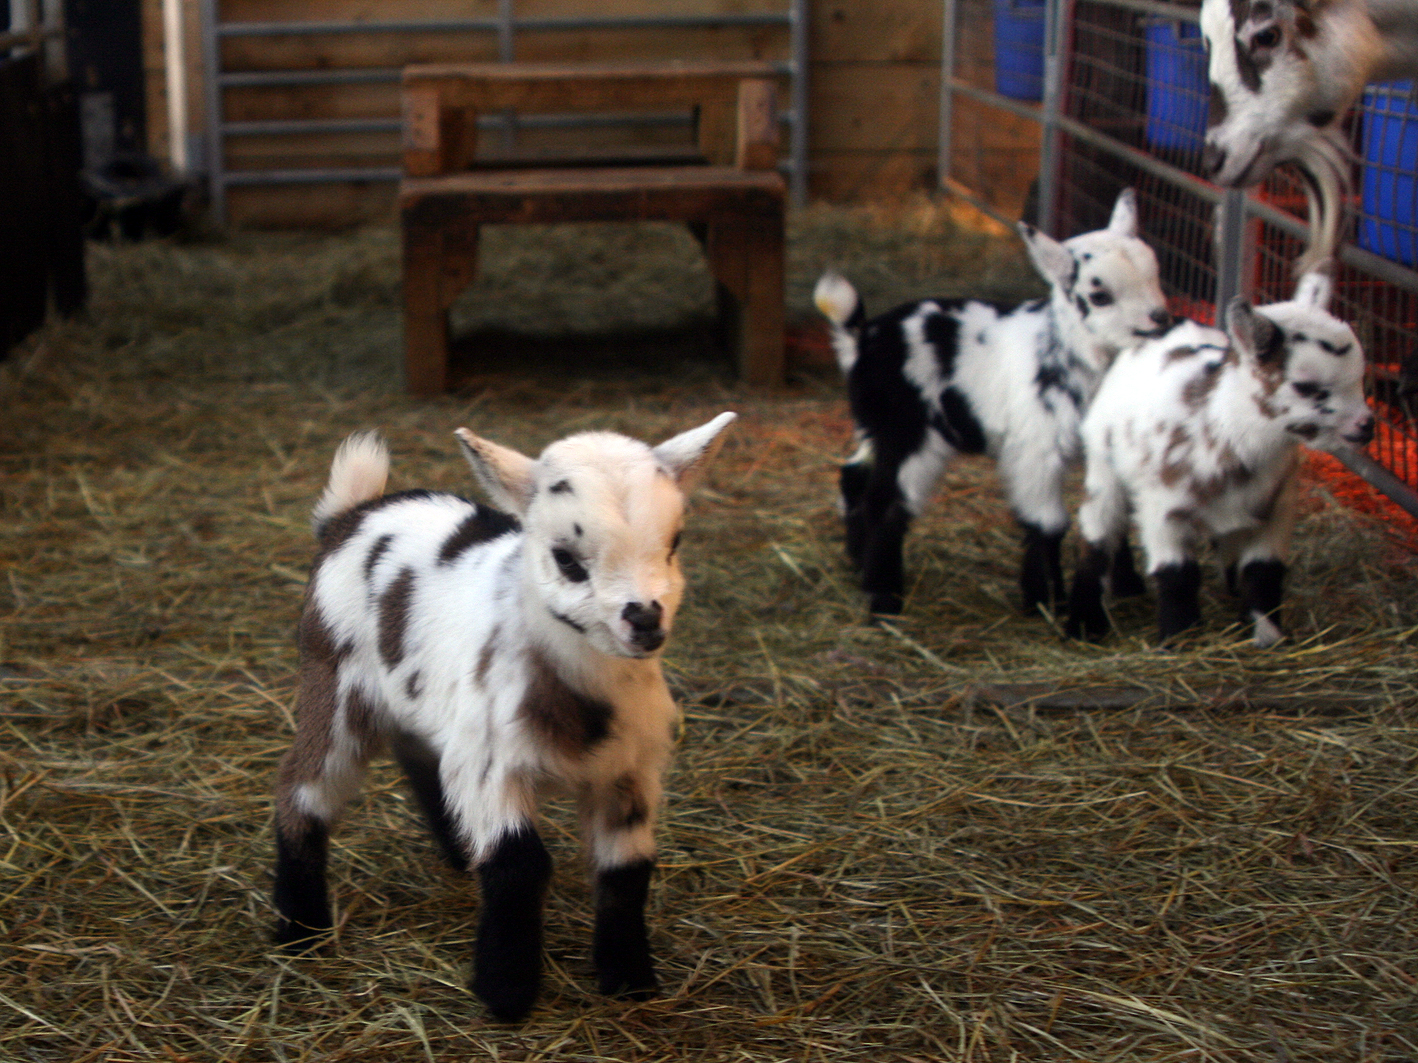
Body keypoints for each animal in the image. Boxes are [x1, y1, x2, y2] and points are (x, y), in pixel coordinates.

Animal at [270, 413, 736, 1021]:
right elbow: (519, 864)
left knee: (420, 759)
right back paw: (300, 930)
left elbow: (627, 869)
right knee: (304, 787)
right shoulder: (493, 764)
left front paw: (630, 978)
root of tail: (349, 514)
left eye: (674, 544)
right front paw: (506, 992)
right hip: (334, 680)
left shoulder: (629, 773)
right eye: (566, 558)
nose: (644, 621)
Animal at [814, 188, 1172, 616]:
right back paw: (884, 599)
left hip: (878, 427)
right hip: (910, 431)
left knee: (855, 476)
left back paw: (857, 562)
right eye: (1099, 295)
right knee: (887, 502)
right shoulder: (1037, 449)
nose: (1160, 319)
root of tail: (861, 339)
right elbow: (1048, 523)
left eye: (1155, 275)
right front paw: (1045, 600)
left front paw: (1128, 586)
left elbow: (1115, 518)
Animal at [1066, 268, 1374, 646]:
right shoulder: (1164, 508)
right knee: (1099, 531)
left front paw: (1267, 634)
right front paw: (1180, 639)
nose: (1366, 426)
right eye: (1305, 386)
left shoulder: (1277, 507)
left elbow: (1263, 573)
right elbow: (1177, 575)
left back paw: (1130, 586)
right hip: (1103, 462)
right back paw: (1085, 620)